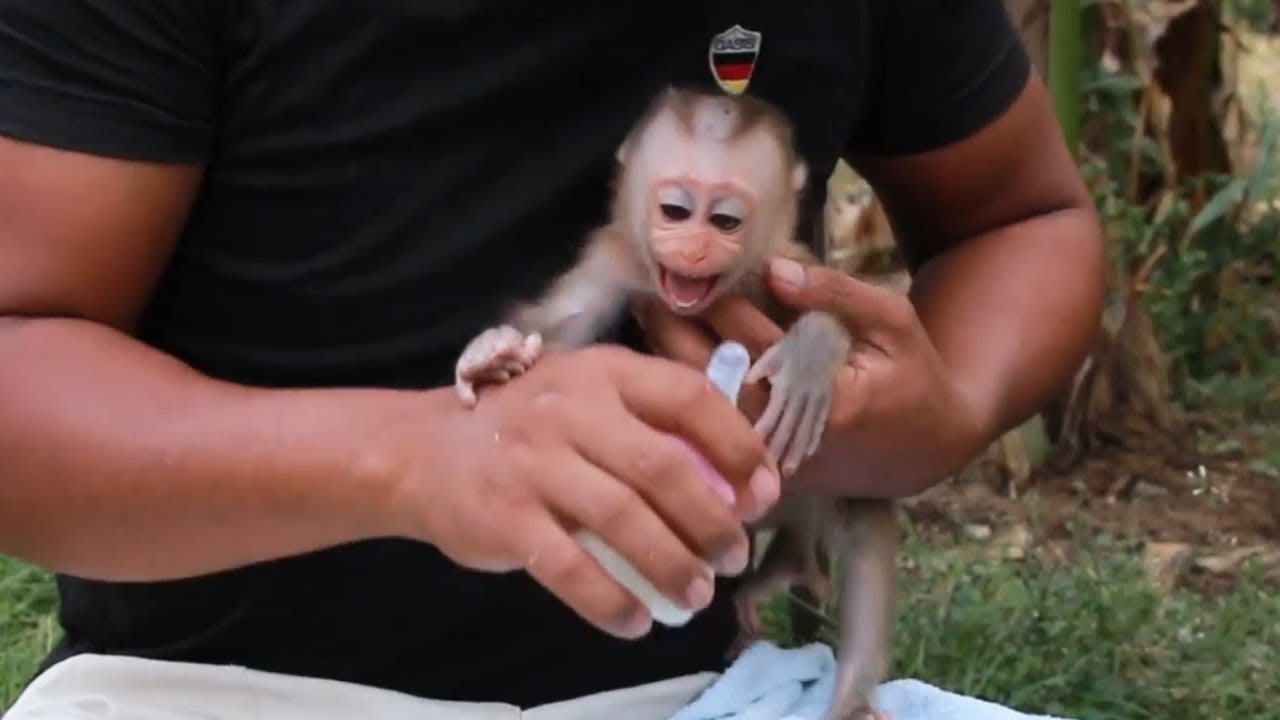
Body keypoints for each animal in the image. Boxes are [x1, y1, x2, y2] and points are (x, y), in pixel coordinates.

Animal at [451, 86, 898, 720]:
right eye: (676, 212)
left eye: (725, 220)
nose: (694, 247)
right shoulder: (615, 260)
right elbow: (559, 334)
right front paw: (494, 353)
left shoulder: (785, 264)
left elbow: (849, 323)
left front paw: (811, 353)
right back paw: (782, 568)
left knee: (862, 517)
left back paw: (850, 690)